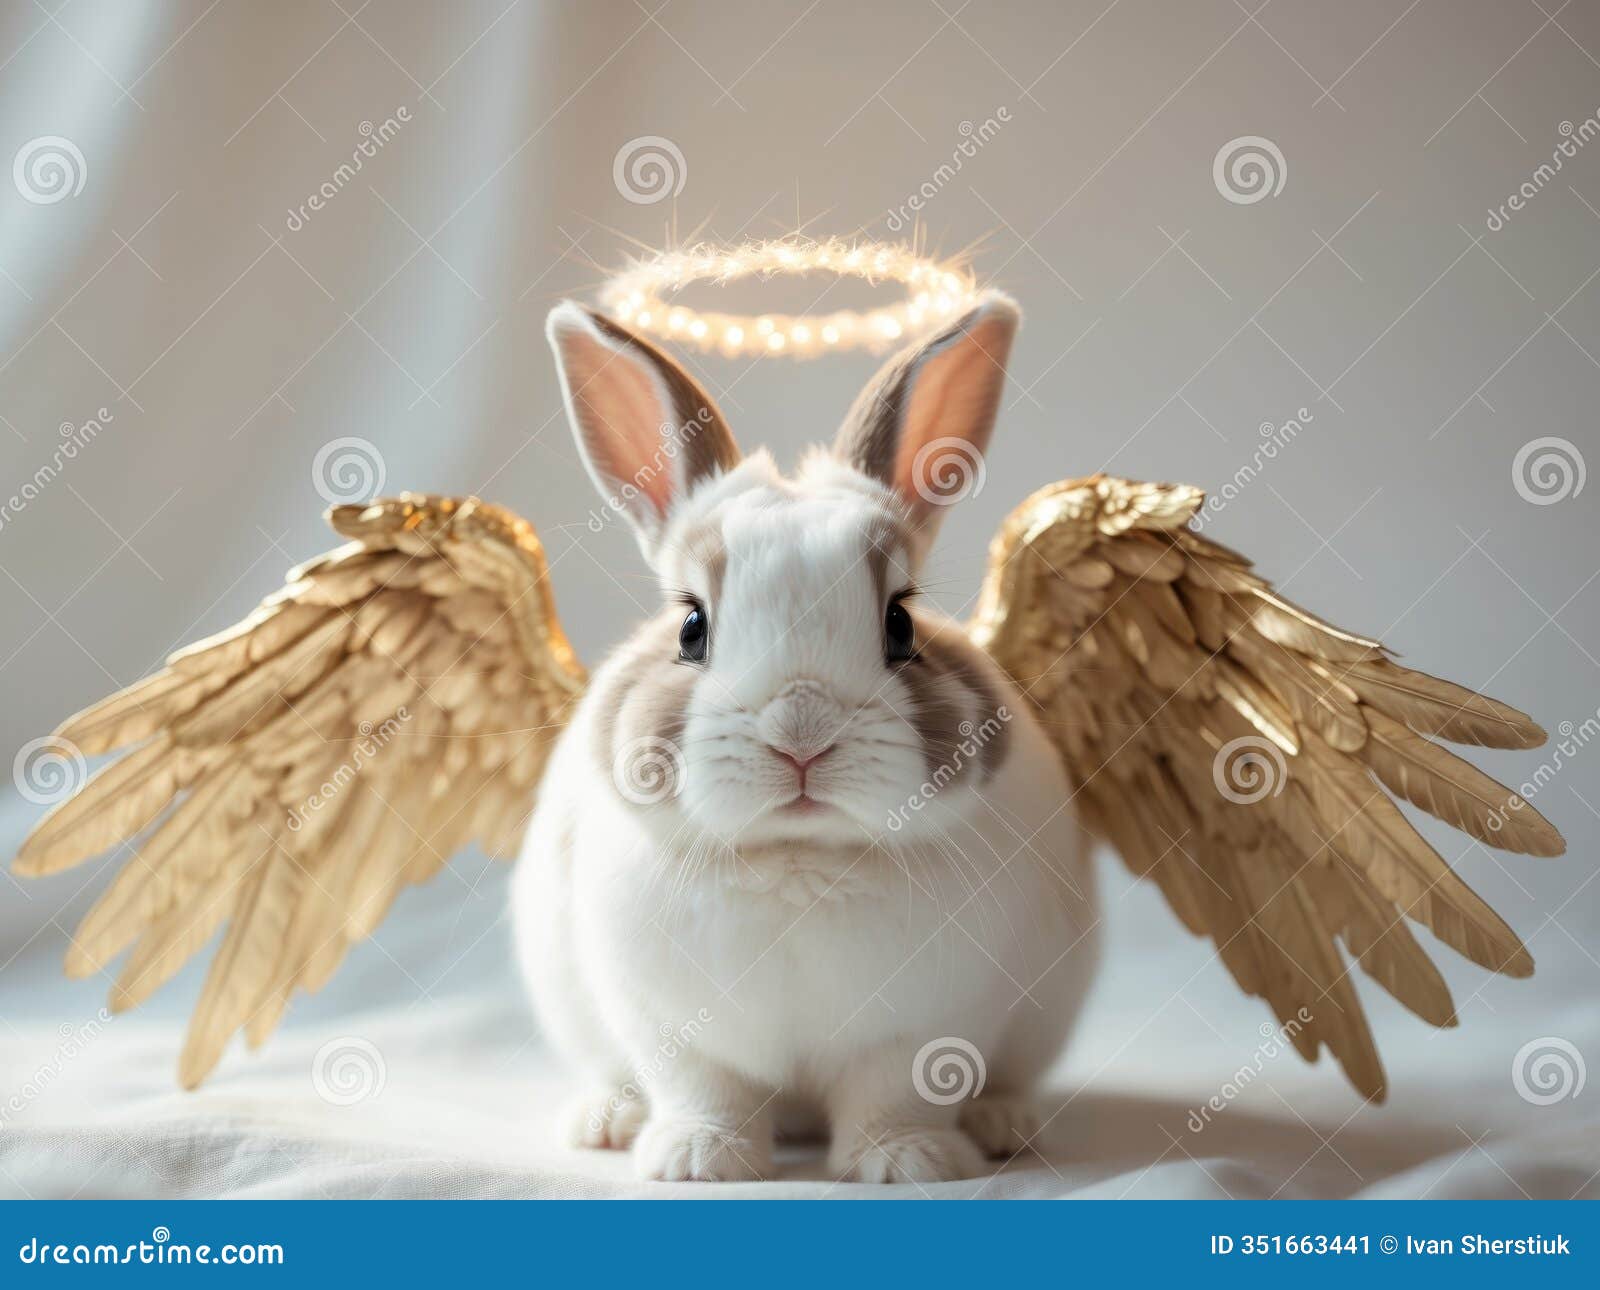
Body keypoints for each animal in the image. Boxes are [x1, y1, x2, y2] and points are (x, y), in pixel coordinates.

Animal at [512, 297, 1099, 1184]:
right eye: (691, 627)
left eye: (901, 626)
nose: (801, 733)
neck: (799, 857)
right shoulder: (666, 1024)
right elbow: (704, 1090)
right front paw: (695, 1161)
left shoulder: (928, 1025)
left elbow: (898, 1095)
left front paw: (907, 1164)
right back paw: (604, 1121)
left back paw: (1005, 1123)